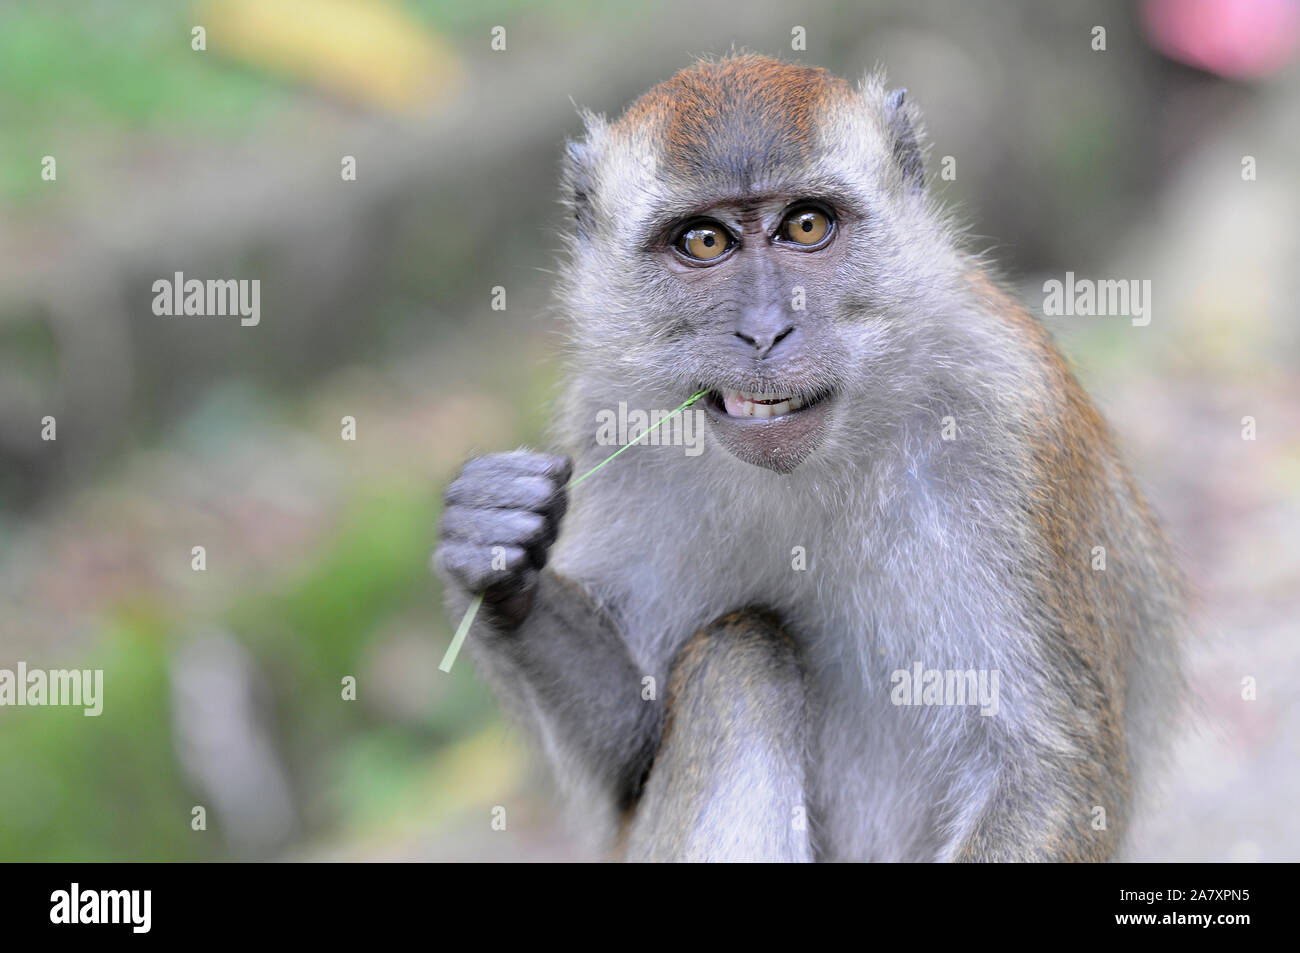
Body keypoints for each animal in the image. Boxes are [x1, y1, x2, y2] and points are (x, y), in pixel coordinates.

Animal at [435, 54, 1184, 862]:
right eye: (704, 241)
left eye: (805, 225)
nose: (766, 331)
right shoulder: (608, 419)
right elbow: (631, 756)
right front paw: (495, 548)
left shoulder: (1005, 415)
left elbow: (1048, 764)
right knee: (742, 656)